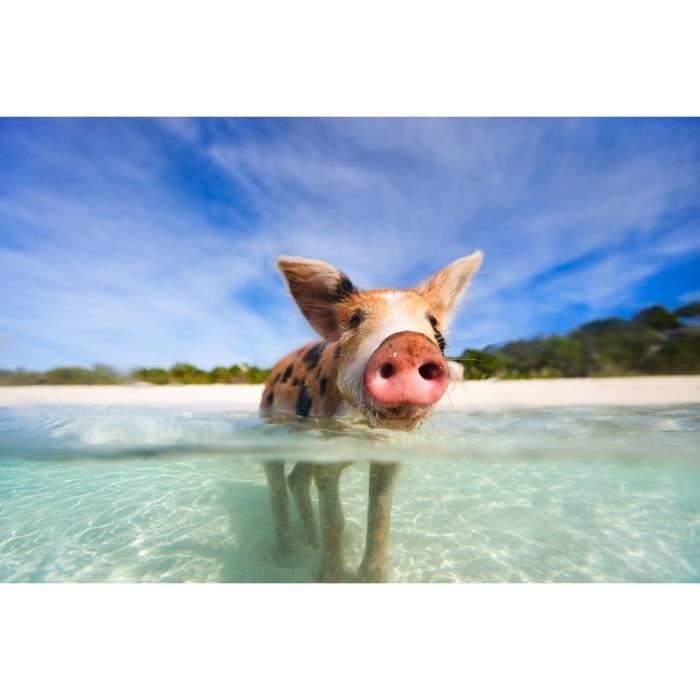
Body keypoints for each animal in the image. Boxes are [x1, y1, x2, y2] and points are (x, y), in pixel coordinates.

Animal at [260, 251, 483, 582]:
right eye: (355, 320)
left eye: (434, 324)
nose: (408, 343)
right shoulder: (327, 449)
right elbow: (335, 521)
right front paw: (329, 578)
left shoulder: (388, 454)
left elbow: (379, 516)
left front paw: (372, 578)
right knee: (277, 483)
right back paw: (285, 558)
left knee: (296, 480)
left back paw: (310, 543)